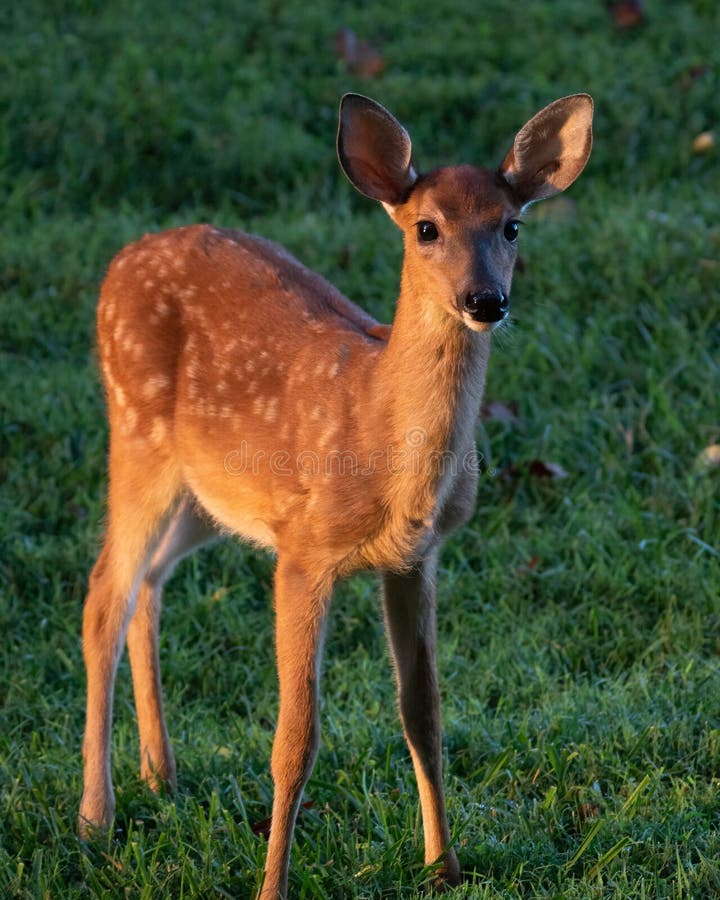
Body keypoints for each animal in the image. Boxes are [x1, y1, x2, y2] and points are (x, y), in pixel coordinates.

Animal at [79, 91, 593, 897]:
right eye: (426, 228)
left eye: (511, 225)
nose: (486, 299)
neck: (383, 439)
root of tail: (122, 260)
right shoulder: (301, 551)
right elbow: (295, 739)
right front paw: (272, 885)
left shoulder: (416, 558)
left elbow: (424, 713)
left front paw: (443, 865)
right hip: (135, 439)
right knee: (104, 593)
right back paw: (95, 818)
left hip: (205, 496)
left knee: (148, 584)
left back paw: (161, 775)